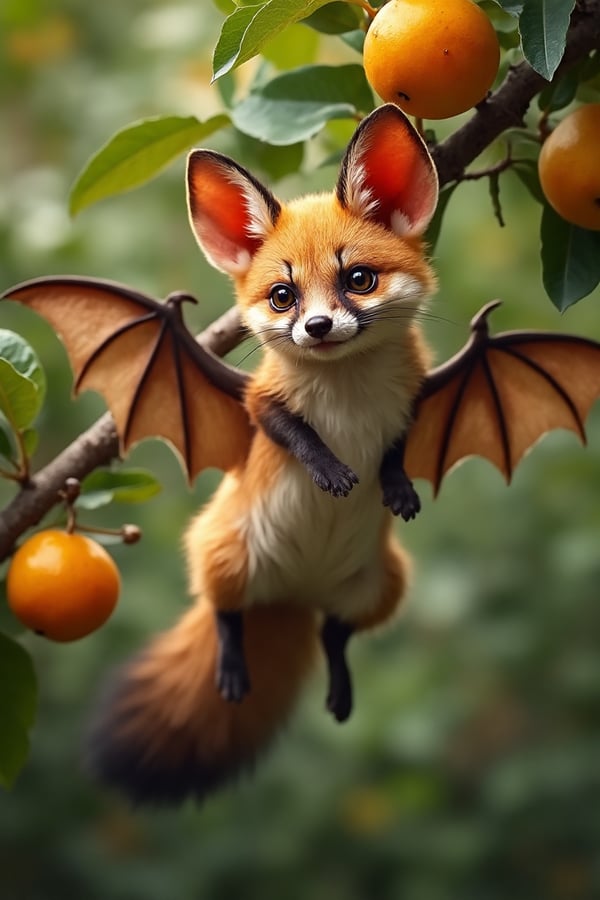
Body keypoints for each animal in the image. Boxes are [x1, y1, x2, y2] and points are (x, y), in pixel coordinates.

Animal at [87, 104, 440, 805]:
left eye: (358, 280)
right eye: (283, 295)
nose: (318, 327)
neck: (348, 398)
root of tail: (296, 590)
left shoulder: (414, 402)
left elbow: (393, 451)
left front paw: (394, 487)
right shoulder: (259, 402)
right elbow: (294, 432)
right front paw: (331, 471)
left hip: (381, 586)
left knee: (334, 635)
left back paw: (339, 691)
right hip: (224, 554)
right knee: (225, 614)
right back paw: (232, 672)